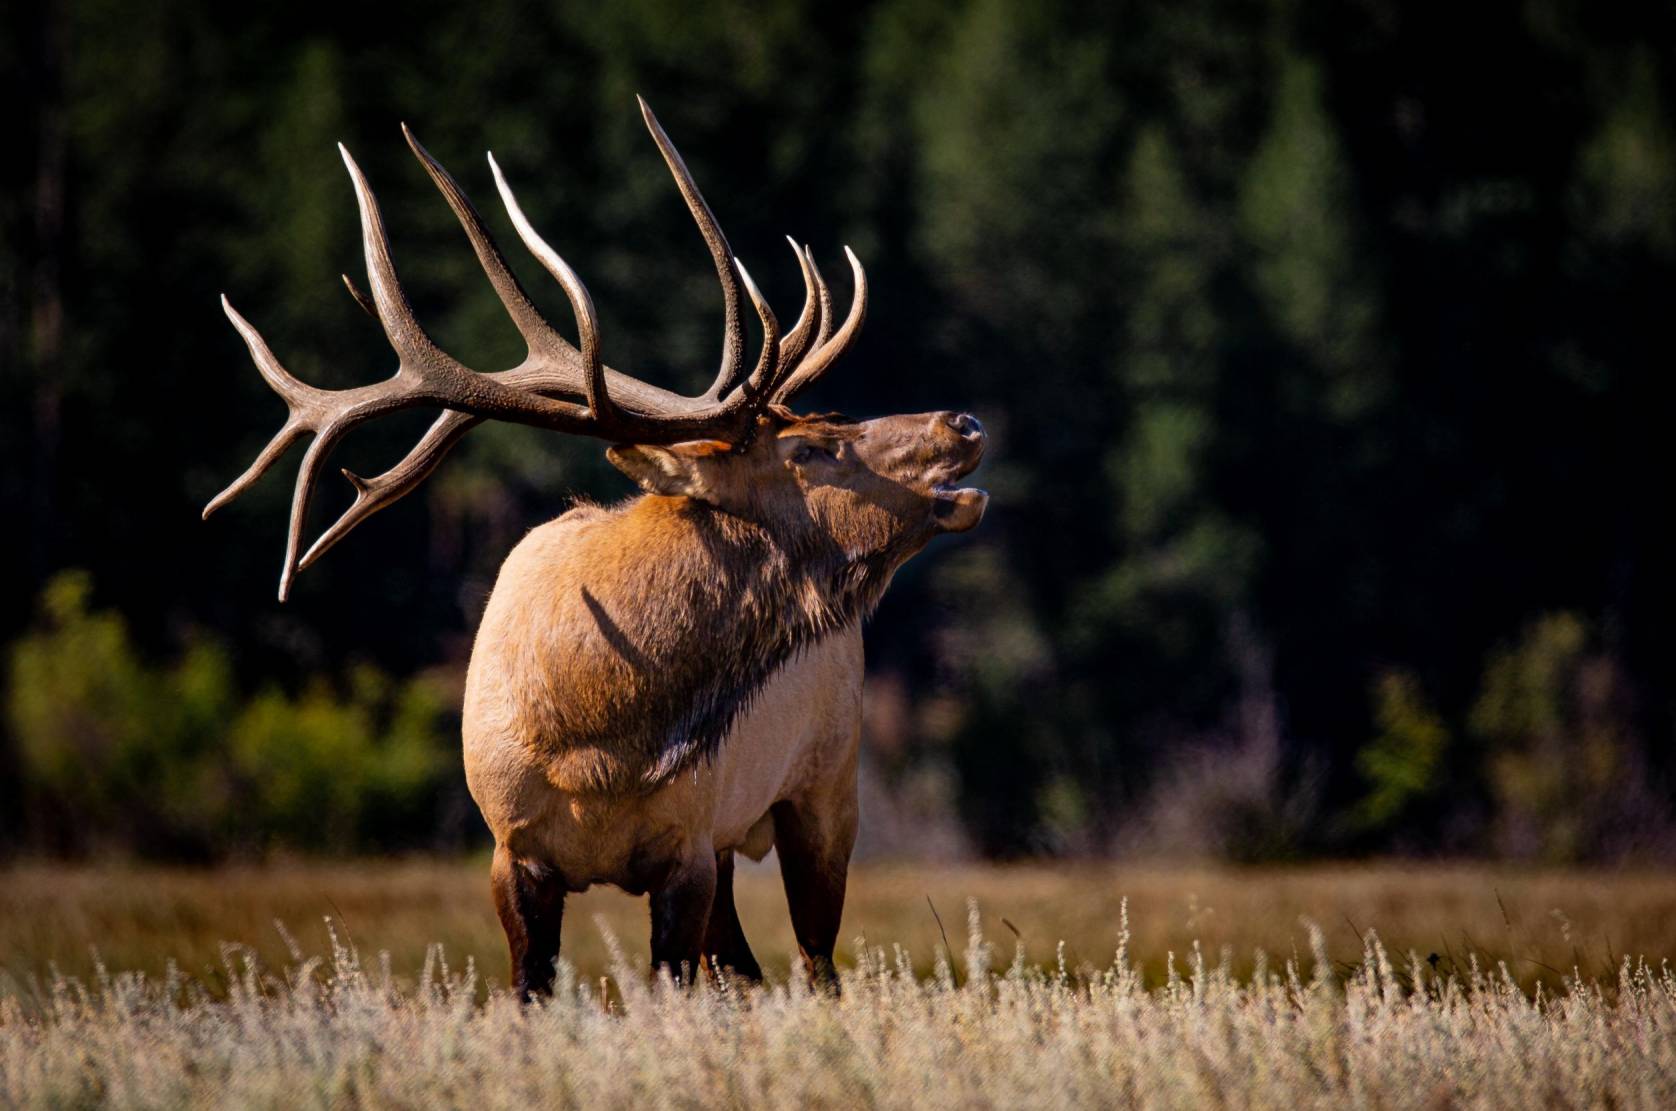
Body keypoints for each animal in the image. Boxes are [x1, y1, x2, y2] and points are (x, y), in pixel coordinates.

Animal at [204, 99, 988, 996]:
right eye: (814, 447)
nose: (963, 421)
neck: (600, 738)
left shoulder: (688, 847)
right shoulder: (513, 851)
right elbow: (530, 989)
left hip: (826, 785)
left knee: (814, 962)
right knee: (758, 967)